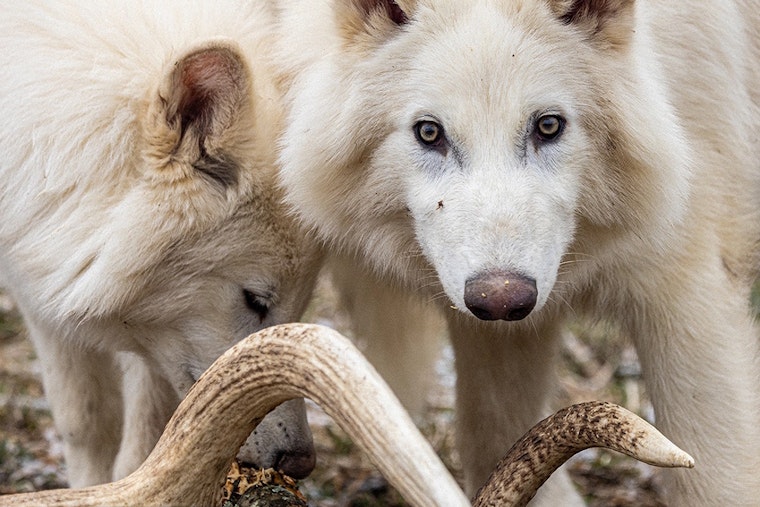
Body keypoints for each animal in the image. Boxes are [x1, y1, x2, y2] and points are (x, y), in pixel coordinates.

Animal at [0, 1, 322, 488]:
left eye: (300, 307)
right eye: (255, 301)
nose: (299, 463)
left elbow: (150, 436)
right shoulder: (36, 291)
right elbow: (85, 422)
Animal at [275, 0, 760, 504]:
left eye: (548, 126)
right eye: (429, 132)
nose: (503, 300)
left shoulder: (690, 293)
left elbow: (717, 482)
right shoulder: (490, 329)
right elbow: (494, 435)